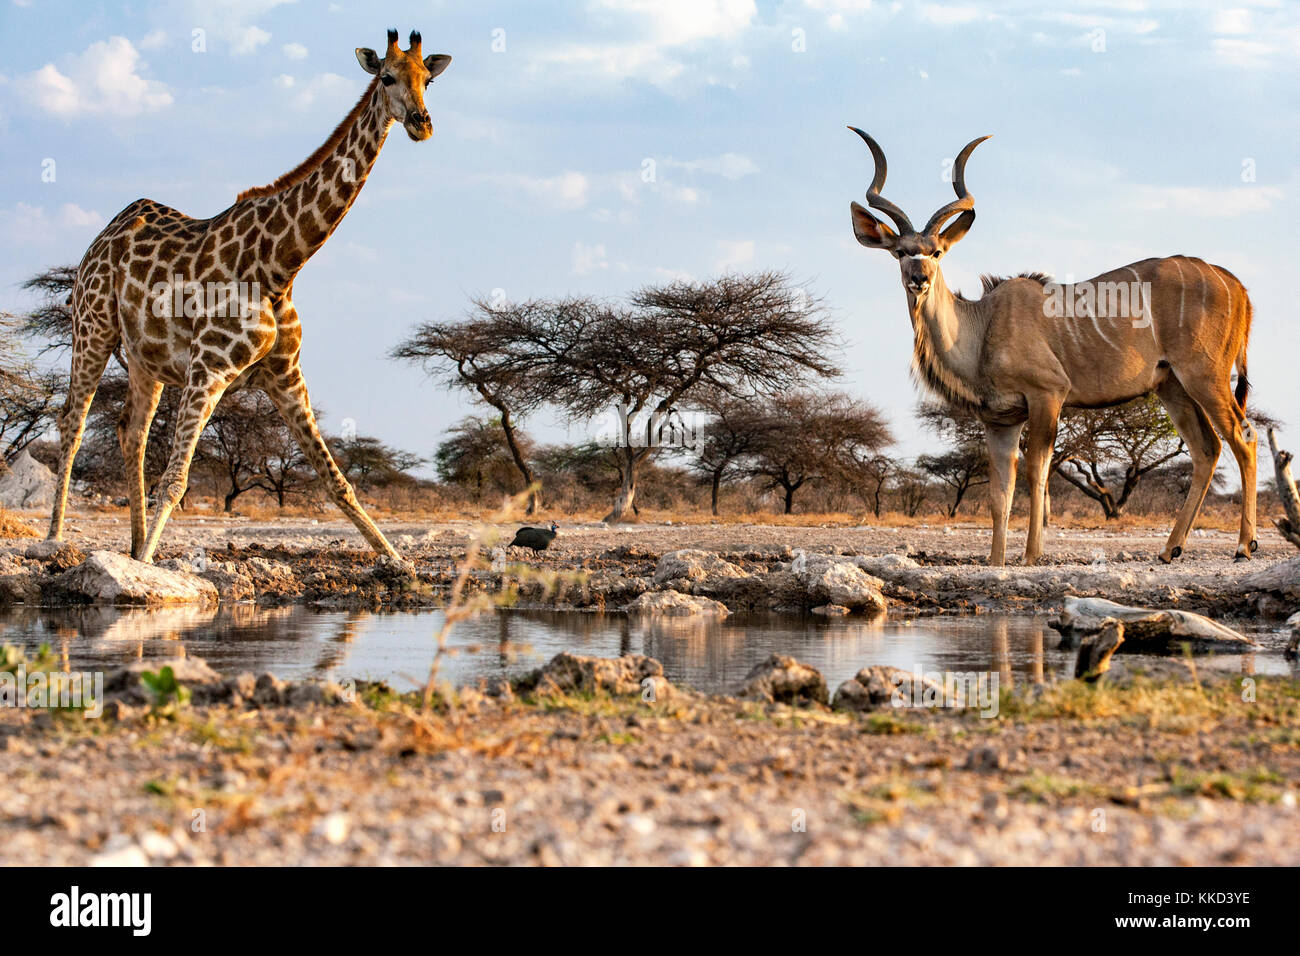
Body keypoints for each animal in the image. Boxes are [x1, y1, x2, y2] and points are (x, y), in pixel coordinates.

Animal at [46, 29, 451, 564]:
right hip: (92, 329)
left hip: (145, 360)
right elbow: (175, 482)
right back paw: (56, 539)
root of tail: (100, 238)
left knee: (130, 431)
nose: (422, 124)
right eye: (386, 77)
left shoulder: (286, 375)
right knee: (72, 421)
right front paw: (148, 566)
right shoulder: (208, 369)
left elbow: (338, 482)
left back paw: (131, 546)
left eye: (428, 79)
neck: (281, 266)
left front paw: (397, 560)